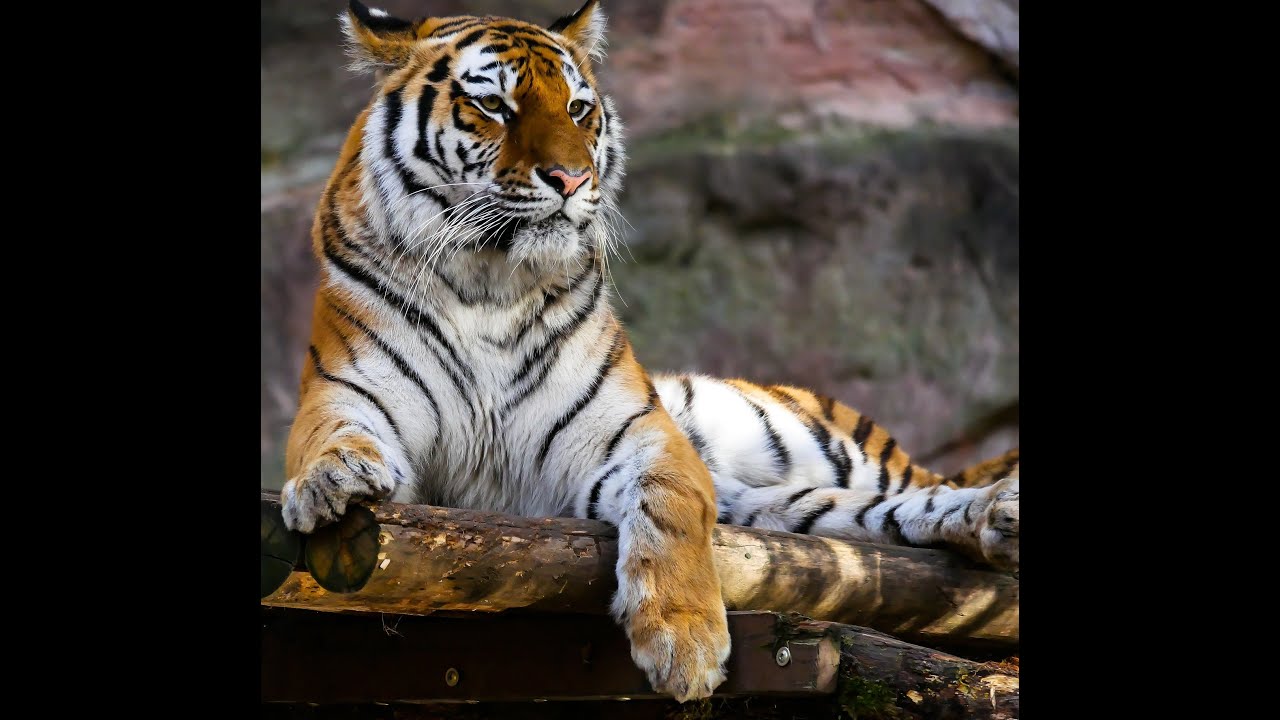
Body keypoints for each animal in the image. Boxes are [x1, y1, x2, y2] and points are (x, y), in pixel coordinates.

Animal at [281, 0, 1020, 703]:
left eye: (578, 109)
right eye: (494, 106)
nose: (570, 179)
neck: (489, 283)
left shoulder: (640, 434)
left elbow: (669, 511)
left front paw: (684, 644)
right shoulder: (346, 393)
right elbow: (329, 437)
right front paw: (330, 481)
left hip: (821, 446)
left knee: (928, 487)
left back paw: (998, 507)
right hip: (796, 507)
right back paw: (998, 520)